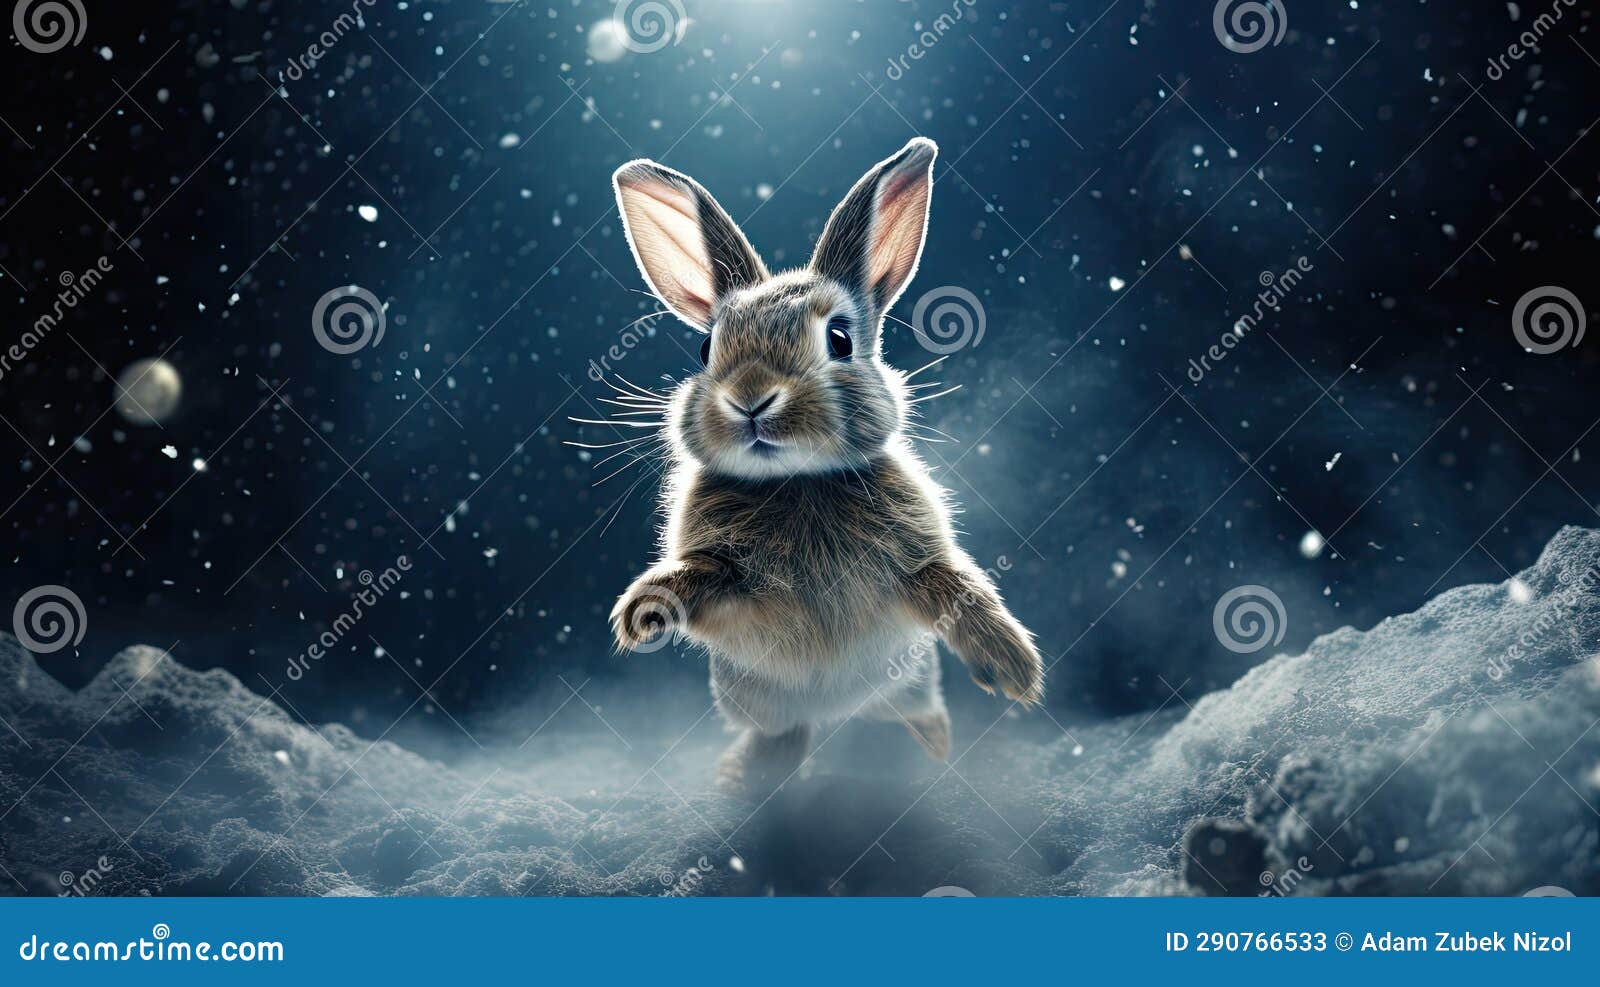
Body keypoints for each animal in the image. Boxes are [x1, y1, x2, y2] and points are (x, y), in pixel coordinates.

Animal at [604, 137, 1043, 793]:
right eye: (706, 348)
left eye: (839, 339)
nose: (751, 397)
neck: (796, 483)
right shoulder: (726, 581)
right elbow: (699, 579)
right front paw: (641, 614)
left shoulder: (915, 560)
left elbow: (953, 585)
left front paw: (1014, 668)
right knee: (784, 731)